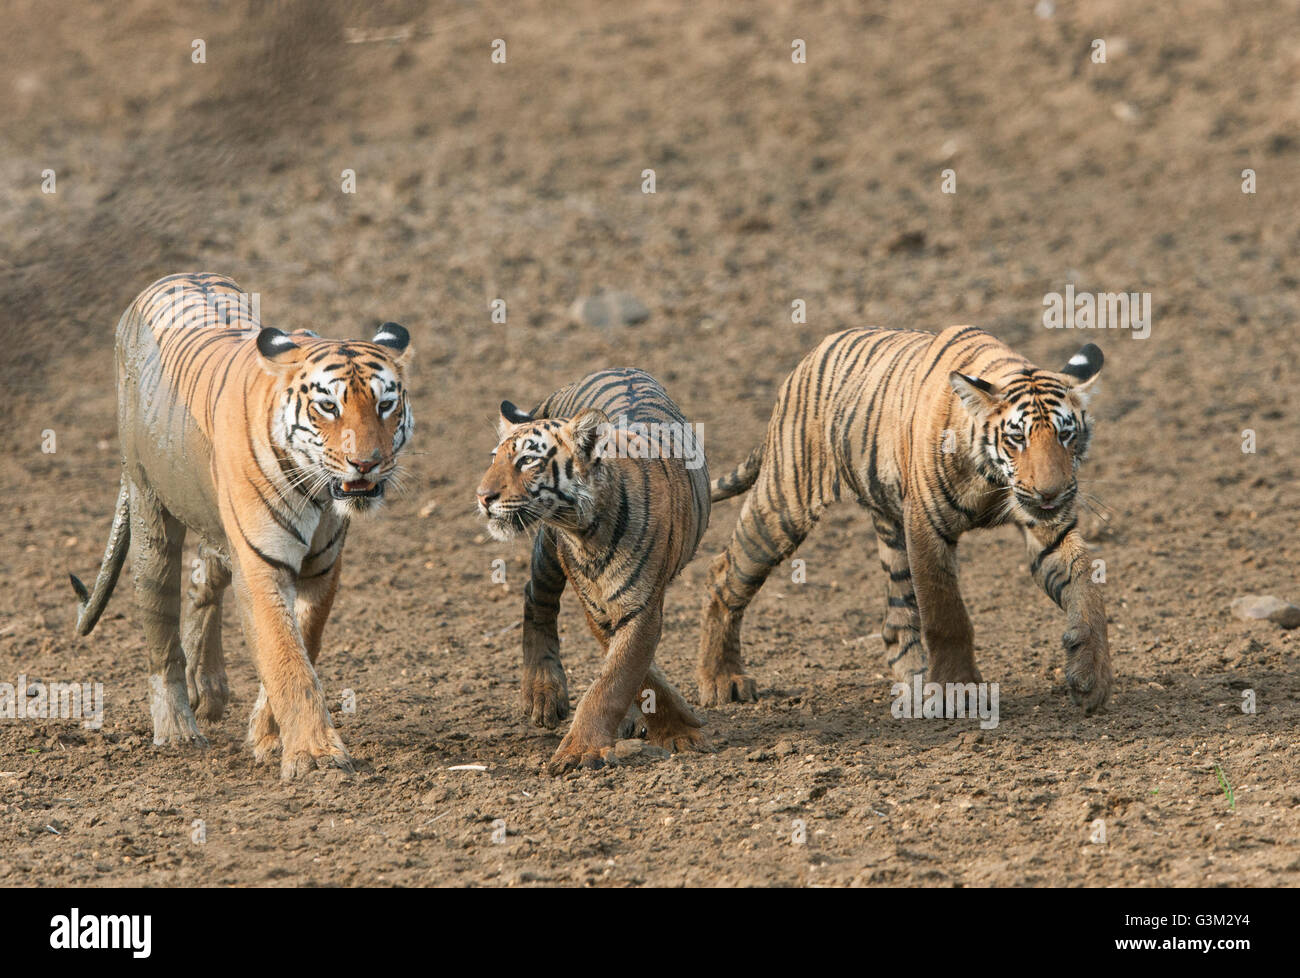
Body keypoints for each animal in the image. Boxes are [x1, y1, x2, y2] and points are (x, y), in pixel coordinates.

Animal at [69, 272, 413, 779]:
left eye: (386, 404)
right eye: (328, 407)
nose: (366, 463)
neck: (317, 491)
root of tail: (167, 278)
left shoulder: (321, 569)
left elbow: (303, 646)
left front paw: (269, 738)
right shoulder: (260, 565)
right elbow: (286, 659)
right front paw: (316, 758)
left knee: (204, 574)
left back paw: (208, 689)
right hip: (150, 508)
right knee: (161, 630)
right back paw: (178, 730)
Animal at [475, 368, 711, 775]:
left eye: (527, 461)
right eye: (494, 459)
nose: (482, 496)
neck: (585, 531)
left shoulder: (640, 607)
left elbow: (614, 680)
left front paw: (581, 750)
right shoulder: (598, 609)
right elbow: (633, 677)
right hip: (547, 551)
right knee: (536, 600)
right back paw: (542, 693)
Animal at [699, 325, 1112, 713]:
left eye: (1065, 435)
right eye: (1017, 439)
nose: (1050, 493)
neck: (994, 478)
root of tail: (806, 360)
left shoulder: (1047, 527)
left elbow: (1086, 586)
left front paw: (1091, 677)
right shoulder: (926, 527)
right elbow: (947, 614)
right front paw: (959, 691)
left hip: (891, 532)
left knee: (895, 622)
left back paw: (915, 693)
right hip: (785, 504)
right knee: (723, 573)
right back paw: (721, 680)